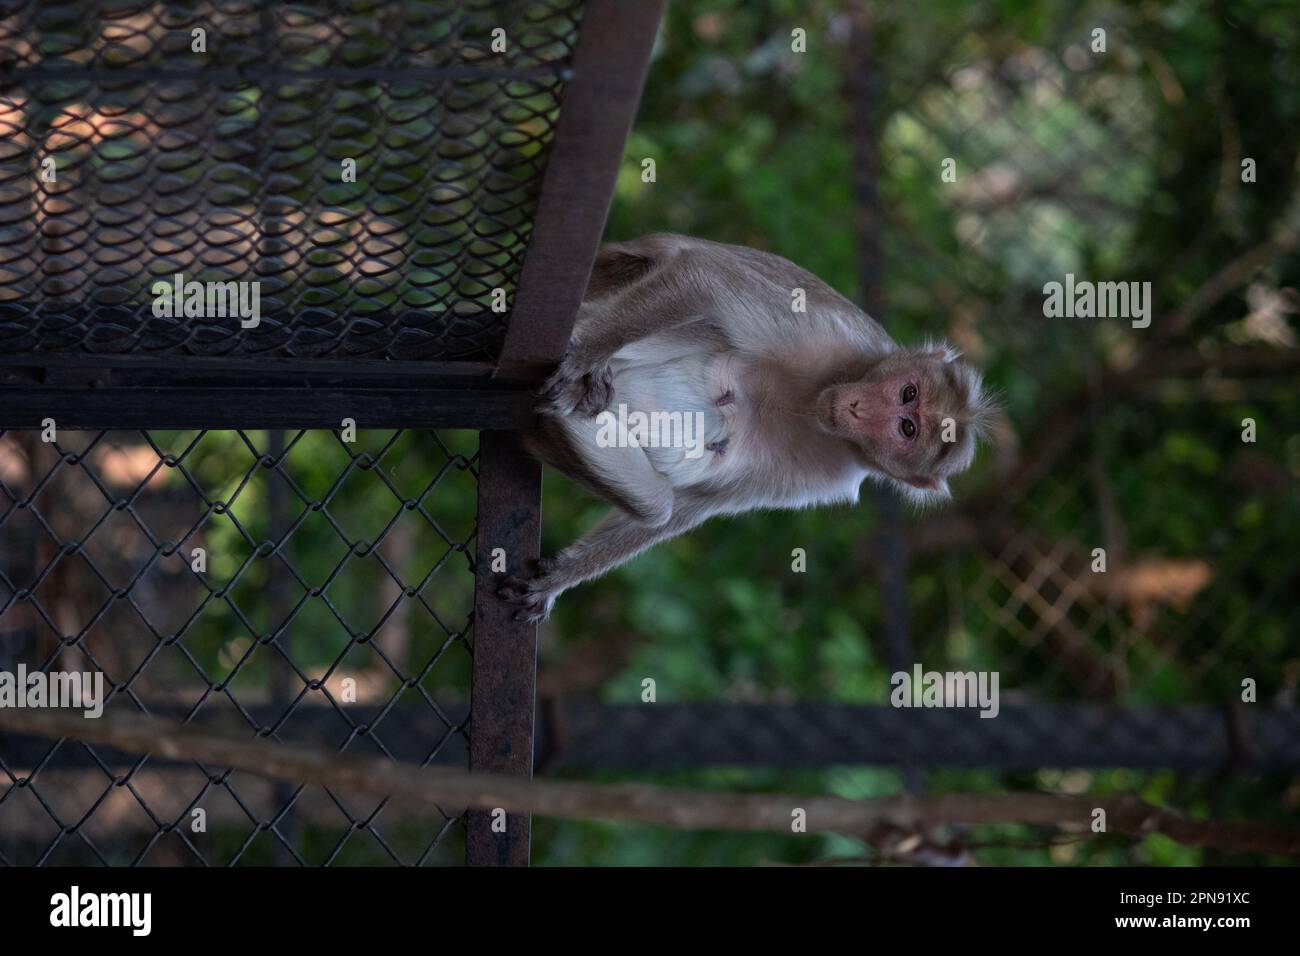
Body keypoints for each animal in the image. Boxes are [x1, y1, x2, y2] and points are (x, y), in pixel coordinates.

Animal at [499, 233, 994, 623]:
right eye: (908, 395)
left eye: (906, 429)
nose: (857, 408)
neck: (815, 406)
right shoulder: (833, 341)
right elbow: (704, 280)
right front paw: (584, 356)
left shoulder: (827, 473)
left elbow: (685, 508)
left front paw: (558, 578)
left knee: (661, 500)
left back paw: (555, 432)